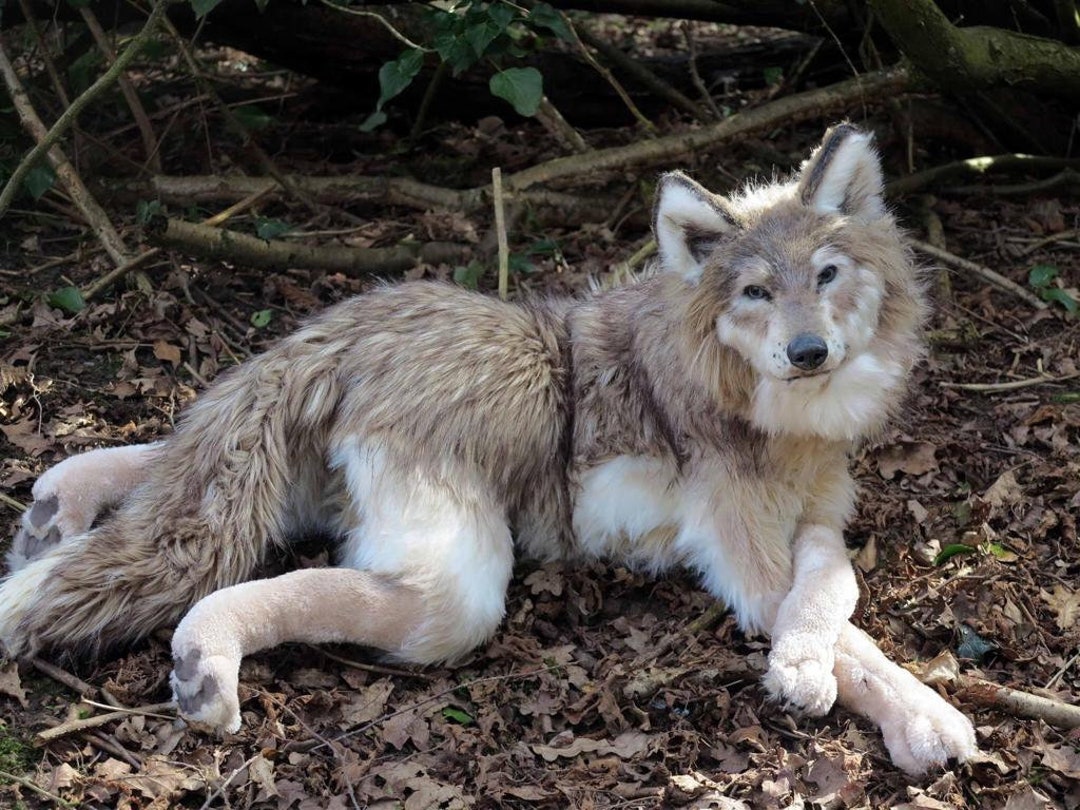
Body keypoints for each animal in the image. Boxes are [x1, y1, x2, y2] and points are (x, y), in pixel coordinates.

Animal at [0, 125, 976, 775]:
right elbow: (861, 649)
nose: (808, 352)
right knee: (273, 576)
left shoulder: (814, 528)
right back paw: (202, 656)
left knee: (174, 452)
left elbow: (839, 590)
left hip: (304, 485)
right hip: (464, 571)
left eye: (827, 275)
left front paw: (806, 657)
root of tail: (338, 334)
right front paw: (911, 713)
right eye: (754, 293)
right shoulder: (744, 560)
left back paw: (57, 501)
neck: (779, 418)